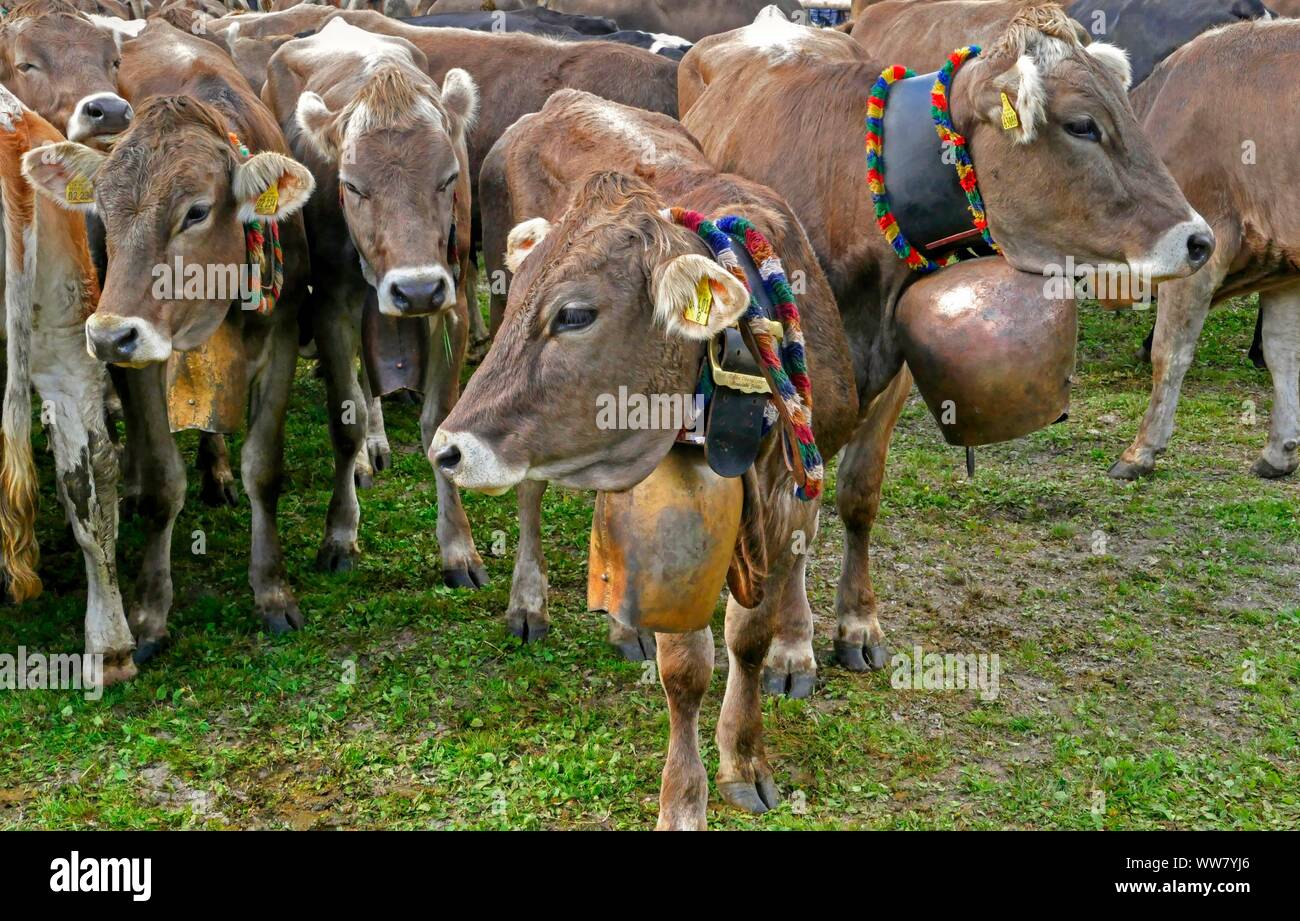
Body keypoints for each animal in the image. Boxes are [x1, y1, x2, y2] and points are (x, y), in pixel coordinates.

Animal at [24, 19, 316, 662]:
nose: (110, 334)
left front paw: (273, 592)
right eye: (102, 210)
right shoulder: (138, 361)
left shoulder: (282, 335)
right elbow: (162, 480)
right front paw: (150, 612)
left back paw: (217, 472)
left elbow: (264, 468)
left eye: (197, 211)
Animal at [261, 17, 487, 581]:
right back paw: (368, 454)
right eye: (351, 185)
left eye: (449, 177)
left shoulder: (451, 302)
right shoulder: (330, 304)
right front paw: (340, 534)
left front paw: (459, 547)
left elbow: (438, 424)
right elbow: (345, 422)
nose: (416, 289)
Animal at [434, 89, 860, 827]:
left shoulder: (786, 497)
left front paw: (745, 758)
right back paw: (529, 602)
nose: (447, 448)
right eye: (518, 304)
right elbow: (685, 668)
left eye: (575, 314)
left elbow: (750, 638)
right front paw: (683, 802)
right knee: (531, 498)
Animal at [677, 6, 1213, 688]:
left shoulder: (894, 371)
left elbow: (858, 495)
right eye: (1082, 125)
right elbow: (799, 519)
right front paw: (791, 648)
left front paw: (857, 624)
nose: (1199, 240)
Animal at [1108, 19, 1300, 481]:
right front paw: (1278, 452)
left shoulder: (1200, 246)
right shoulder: (1283, 268)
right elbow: (1282, 353)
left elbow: (1169, 351)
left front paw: (1141, 451)